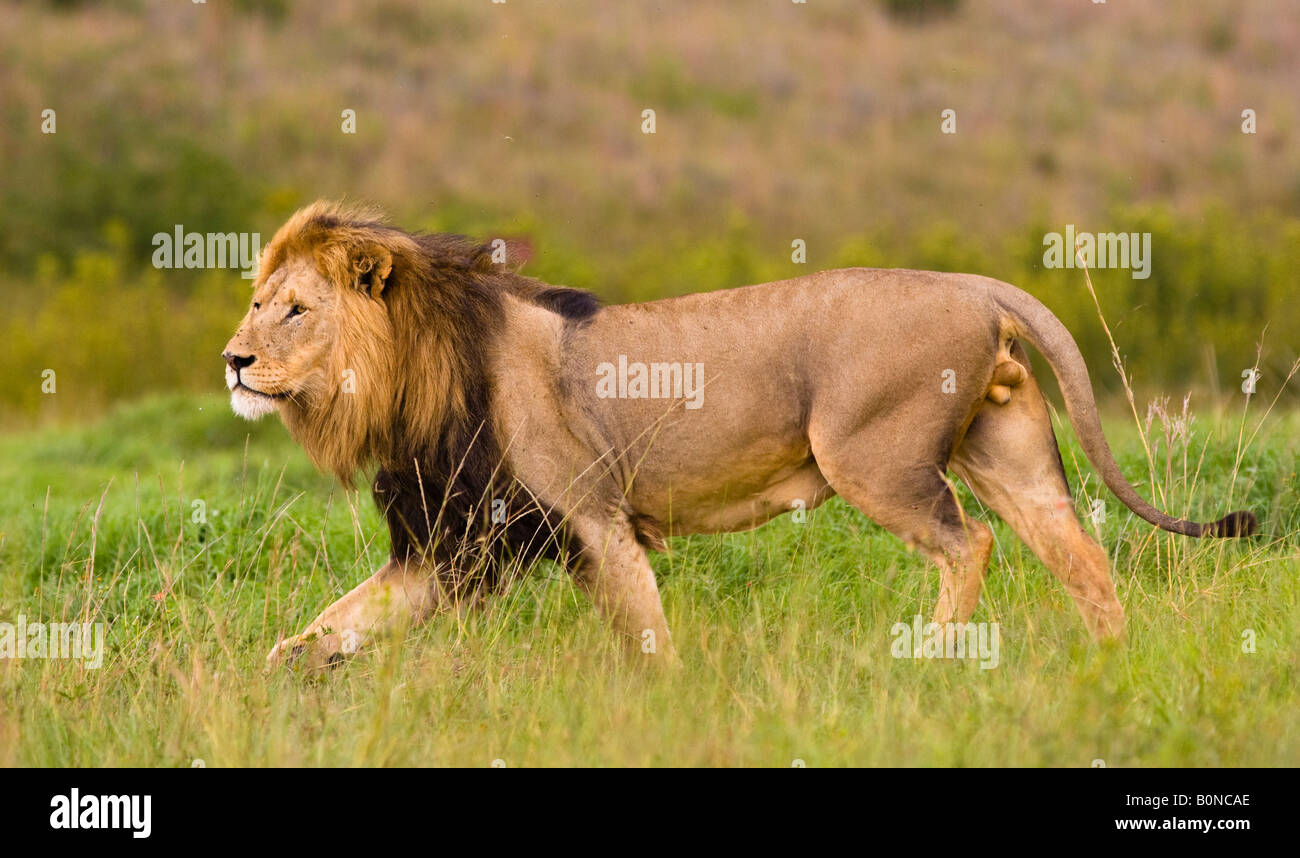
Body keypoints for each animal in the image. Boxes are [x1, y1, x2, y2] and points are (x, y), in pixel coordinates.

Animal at [222, 201, 1256, 669]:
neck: (408, 379)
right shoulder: (451, 545)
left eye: (295, 310)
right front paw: (268, 688)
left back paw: (926, 659)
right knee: (1078, 551)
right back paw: (1110, 666)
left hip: (872, 457)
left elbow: (647, 636)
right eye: (258, 301)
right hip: (1008, 450)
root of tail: (971, 283)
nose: (233, 360)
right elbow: (328, 627)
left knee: (971, 543)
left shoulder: (594, 520)